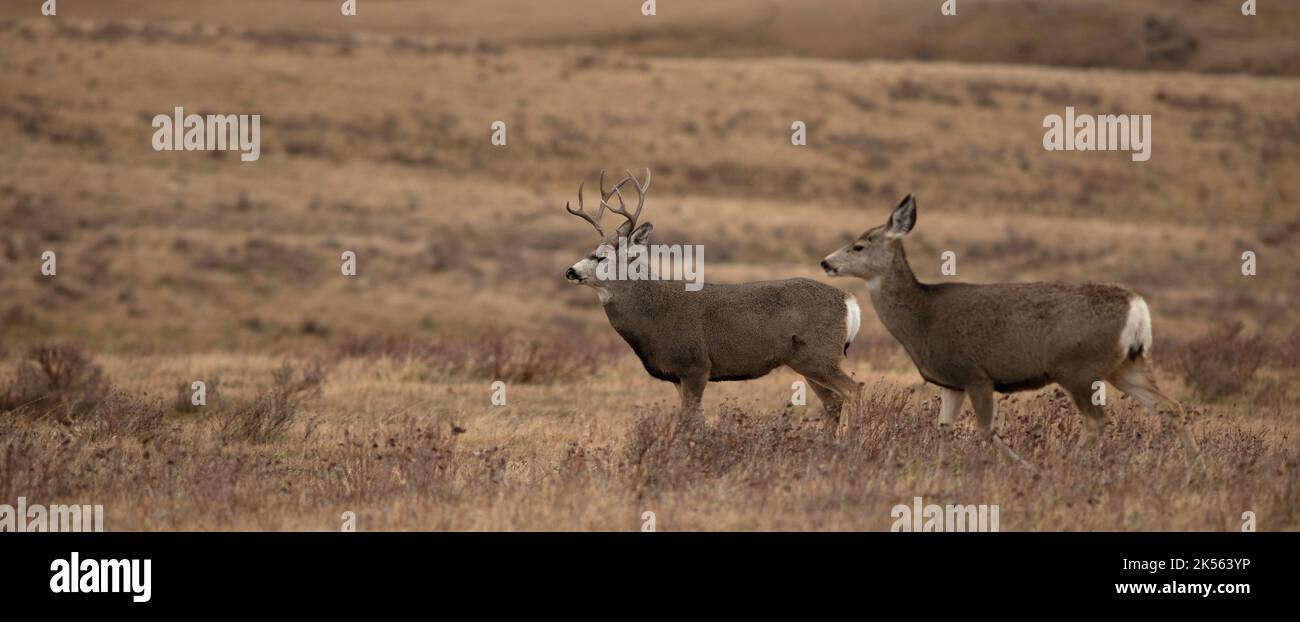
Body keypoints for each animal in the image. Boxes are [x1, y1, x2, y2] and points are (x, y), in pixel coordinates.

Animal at [564, 169, 862, 430]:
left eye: (601, 257)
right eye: (591, 251)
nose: (570, 271)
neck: (653, 315)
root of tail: (848, 300)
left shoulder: (695, 365)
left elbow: (687, 422)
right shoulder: (677, 375)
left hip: (818, 355)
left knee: (854, 391)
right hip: (810, 362)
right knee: (833, 403)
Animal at [820, 194, 1199, 468]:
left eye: (859, 245)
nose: (826, 262)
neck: (922, 318)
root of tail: (1138, 307)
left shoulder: (975, 373)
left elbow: (986, 431)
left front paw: (1022, 467)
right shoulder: (952, 381)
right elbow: (945, 429)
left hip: (1077, 367)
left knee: (1097, 420)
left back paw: (1061, 465)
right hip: (1126, 365)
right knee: (1169, 407)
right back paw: (1195, 463)